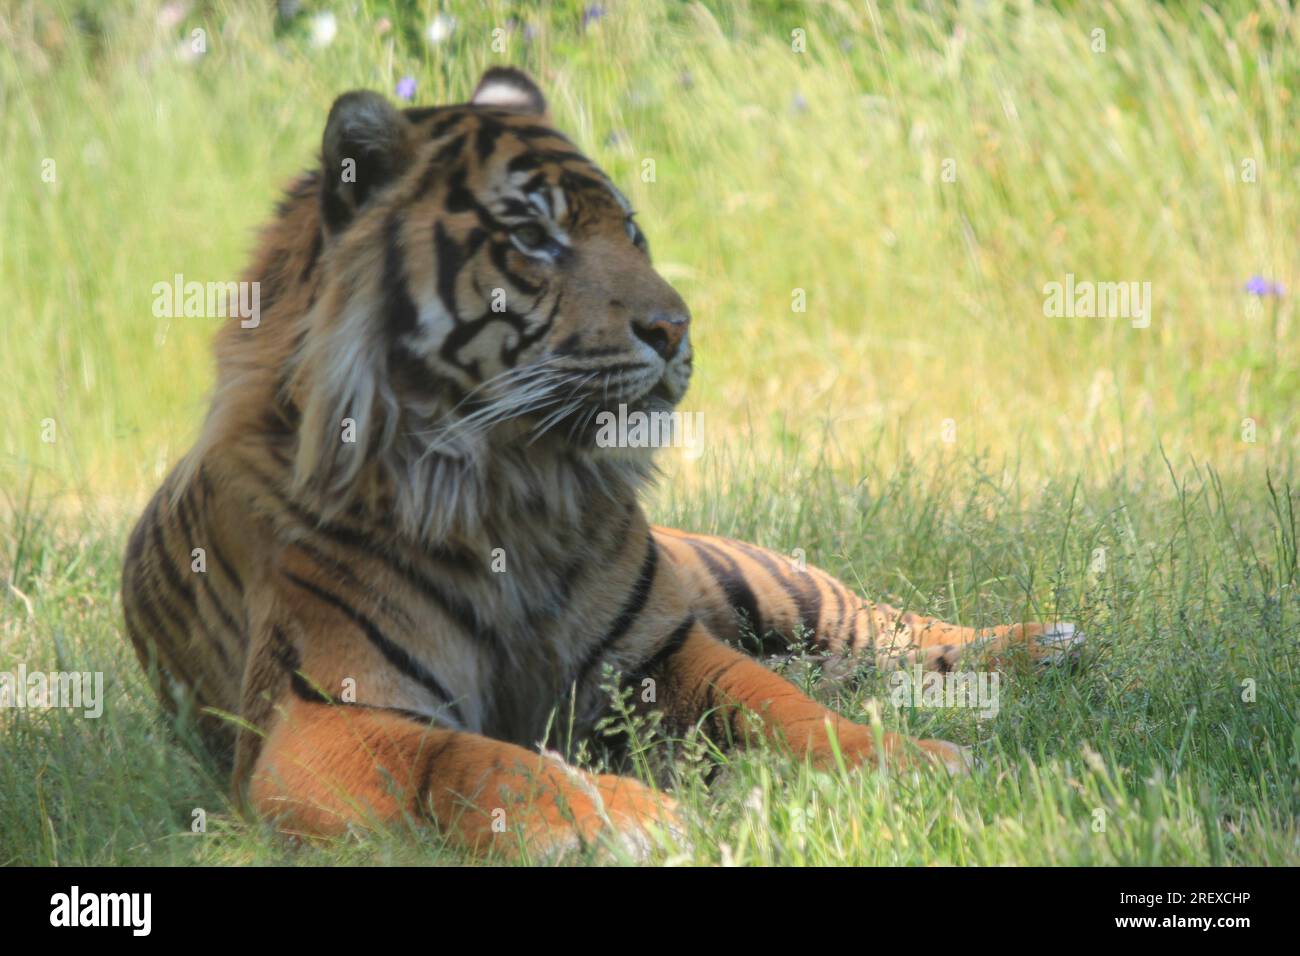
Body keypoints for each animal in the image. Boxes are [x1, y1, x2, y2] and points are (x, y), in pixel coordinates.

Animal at [121, 68, 1082, 858]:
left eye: (631, 231)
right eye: (533, 238)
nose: (676, 328)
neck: (516, 486)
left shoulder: (660, 651)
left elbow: (780, 705)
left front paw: (905, 761)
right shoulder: (319, 721)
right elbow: (472, 758)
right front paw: (612, 816)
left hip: (778, 589)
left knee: (884, 634)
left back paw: (1043, 642)